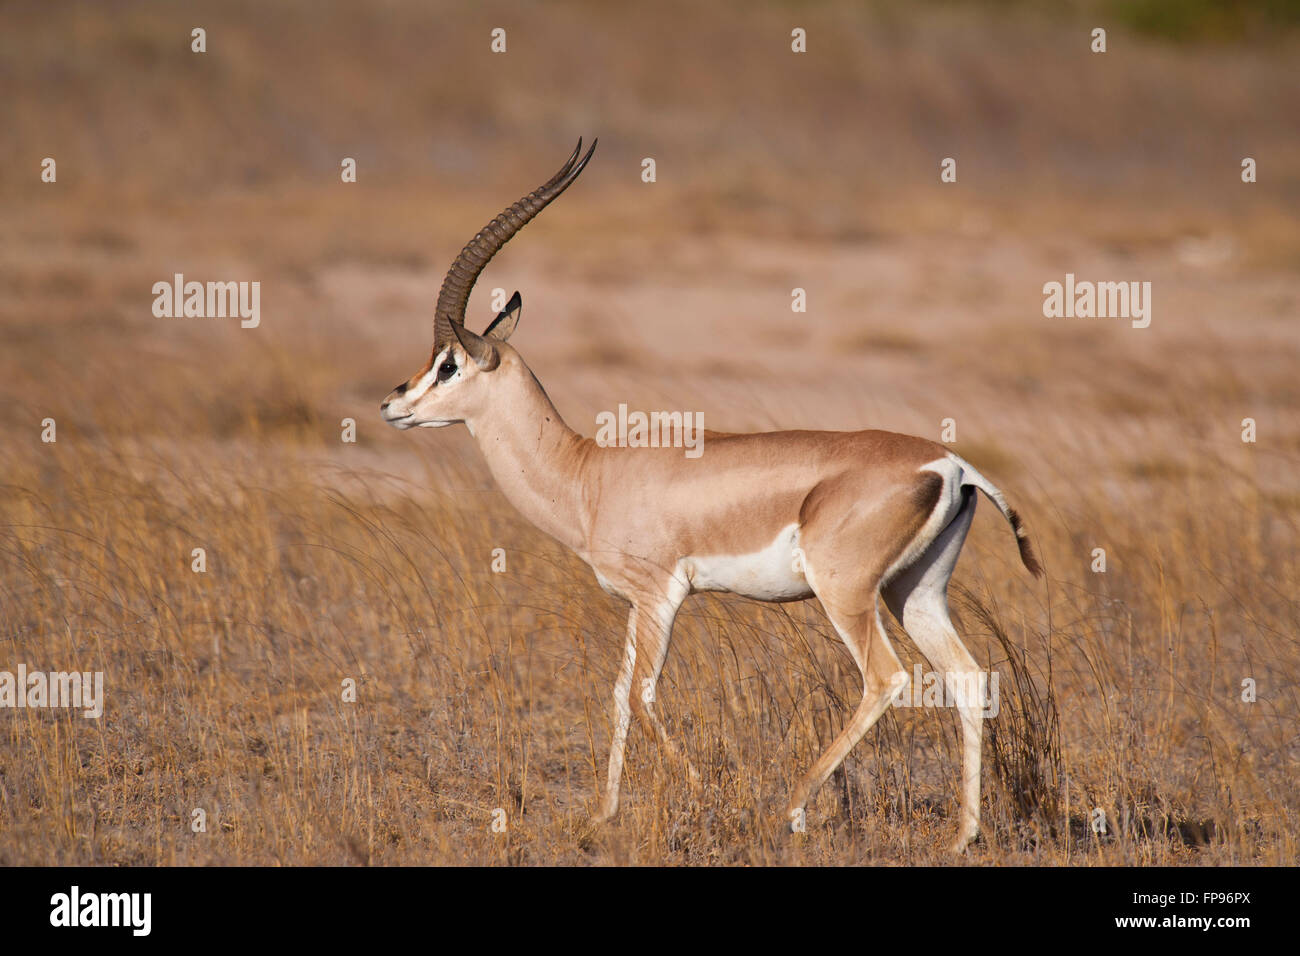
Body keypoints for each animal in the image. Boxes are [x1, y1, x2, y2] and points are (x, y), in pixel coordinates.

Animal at [380, 139, 1042, 851]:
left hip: (847, 593)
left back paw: (793, 810)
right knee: (968, 678)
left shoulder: (660, 596)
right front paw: (603, 815)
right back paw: (962, 836)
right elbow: (618, 694)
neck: (588, 472)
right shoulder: (635, 605)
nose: (392, 404)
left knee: (885, 679)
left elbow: (641, 695)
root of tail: (953, 465)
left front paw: (703, 795)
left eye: (448, 363)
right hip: (913, 590)